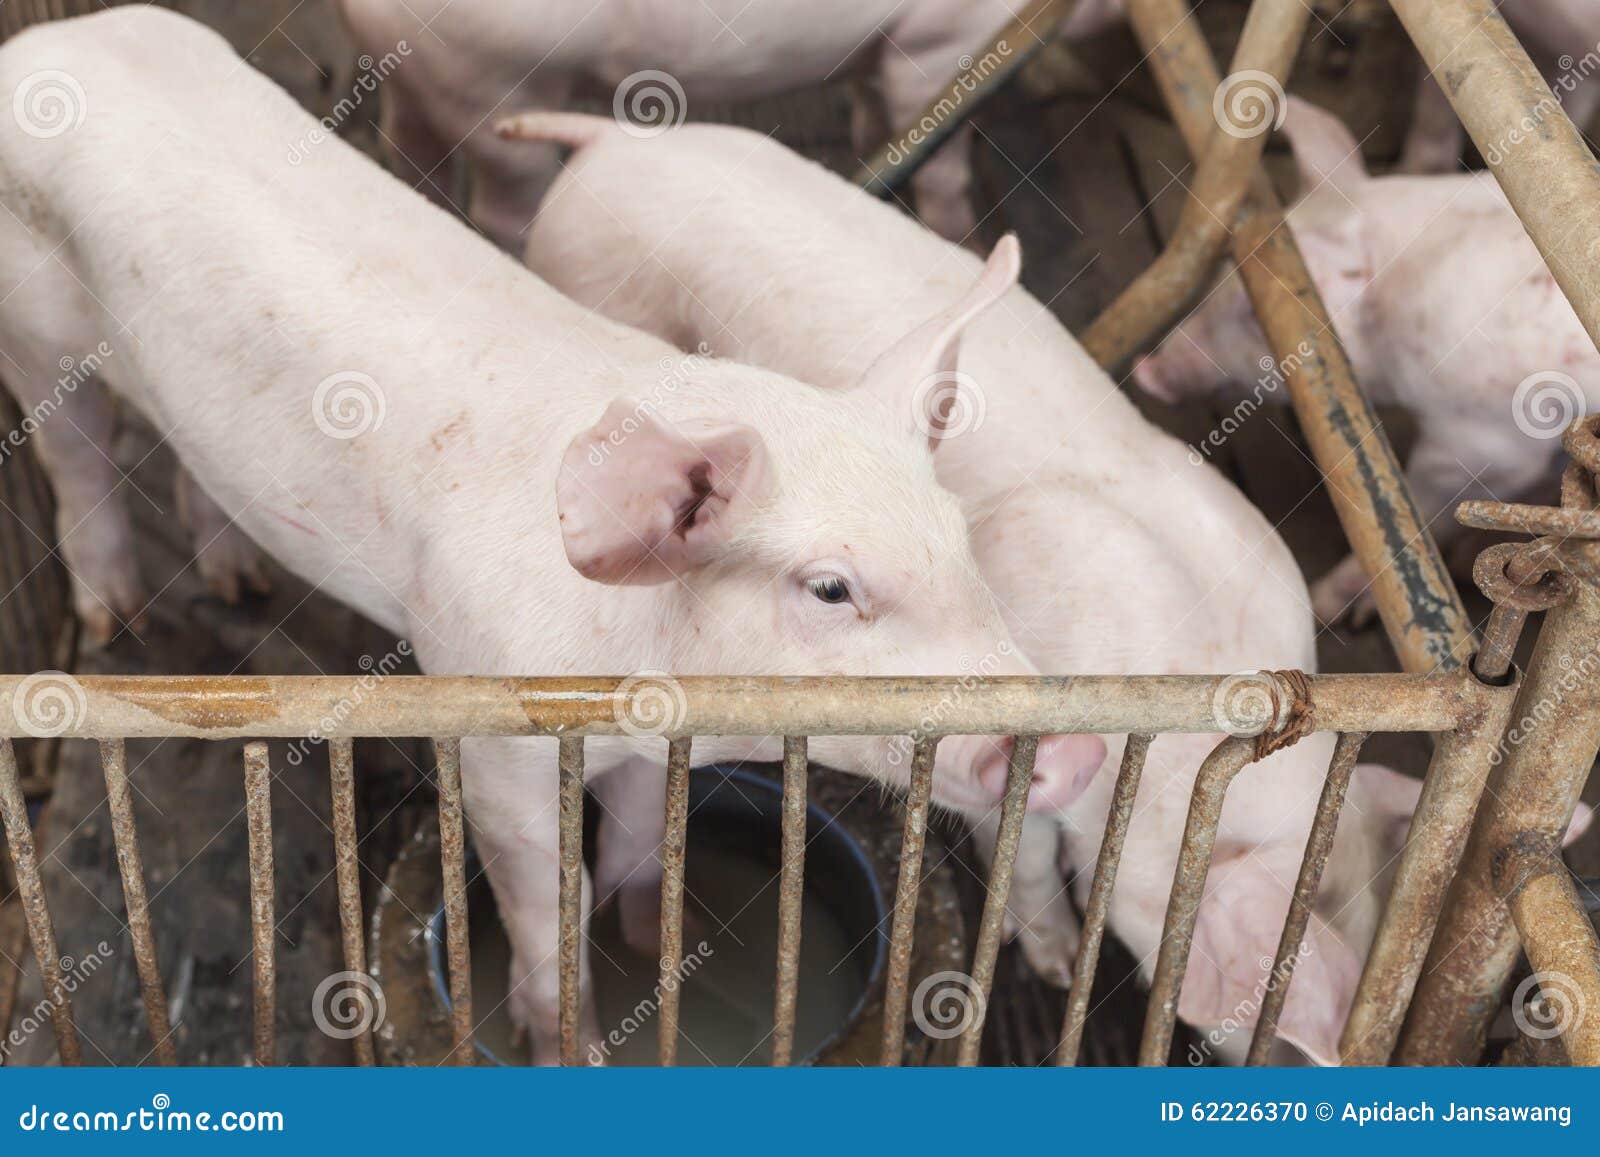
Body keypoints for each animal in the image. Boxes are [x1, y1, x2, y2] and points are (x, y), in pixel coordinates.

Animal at [334, 0, 1023, 250]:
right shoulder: (948, 37)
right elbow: (942, 160)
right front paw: (964, 243)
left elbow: (874, 129)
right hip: (498, 82)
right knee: (504, 209)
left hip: (428, 78)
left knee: (408, 148)